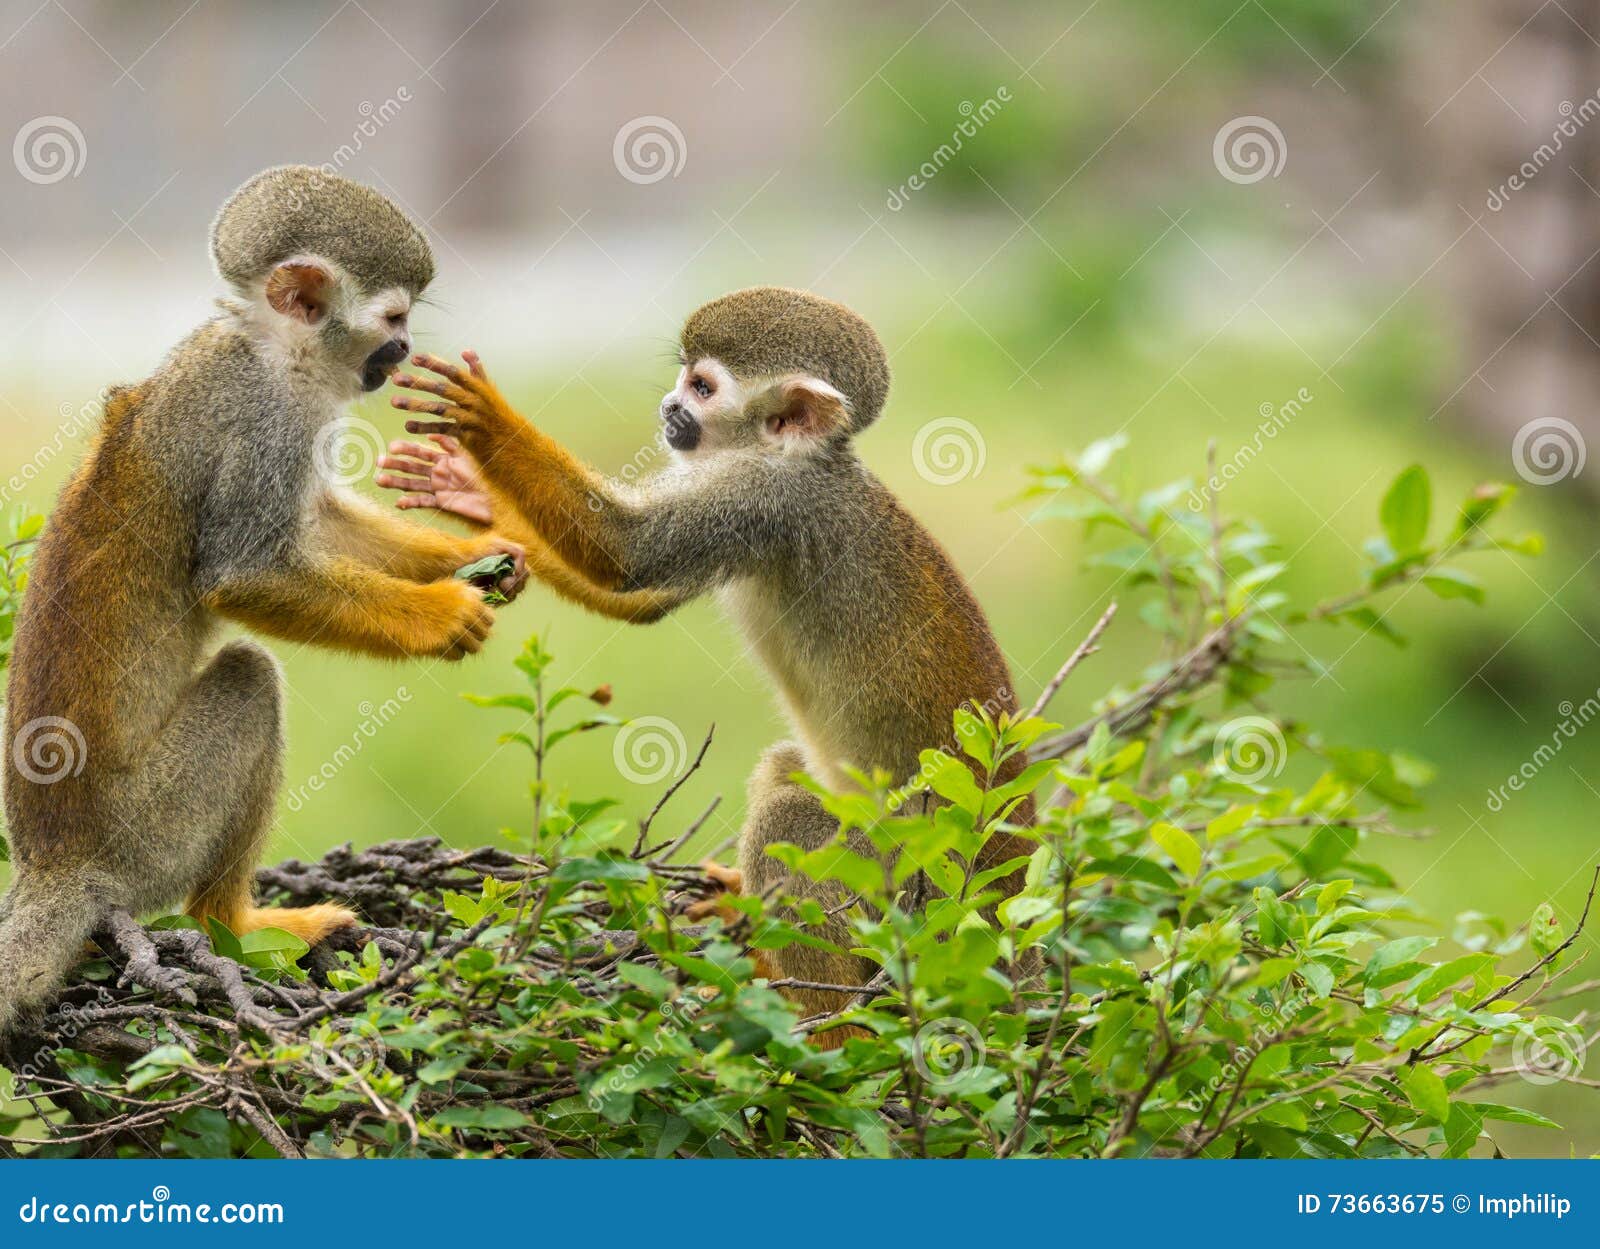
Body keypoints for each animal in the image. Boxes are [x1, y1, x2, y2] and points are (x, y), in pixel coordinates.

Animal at [0, 166, 528, 1035]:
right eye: (394, 319)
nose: (402, 353)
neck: (268, 347)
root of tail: (56, 867)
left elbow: (317, 523)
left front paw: (476, 555)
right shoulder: (263, 419)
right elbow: (241, 573)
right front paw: (441, 613)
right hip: (147, 832)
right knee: (249, 678)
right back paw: (230, 924)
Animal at [382, 287, 1034, 1033]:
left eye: (702, 387)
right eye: (682, 378)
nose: (670, 406)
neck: (788, 458)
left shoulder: (763, 501)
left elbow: (627, 553)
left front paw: (486, 420)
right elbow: (642, 597)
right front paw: (467, 492)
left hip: (914, 900)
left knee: (790, 822)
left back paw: (819, 1025)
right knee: (783, 770)